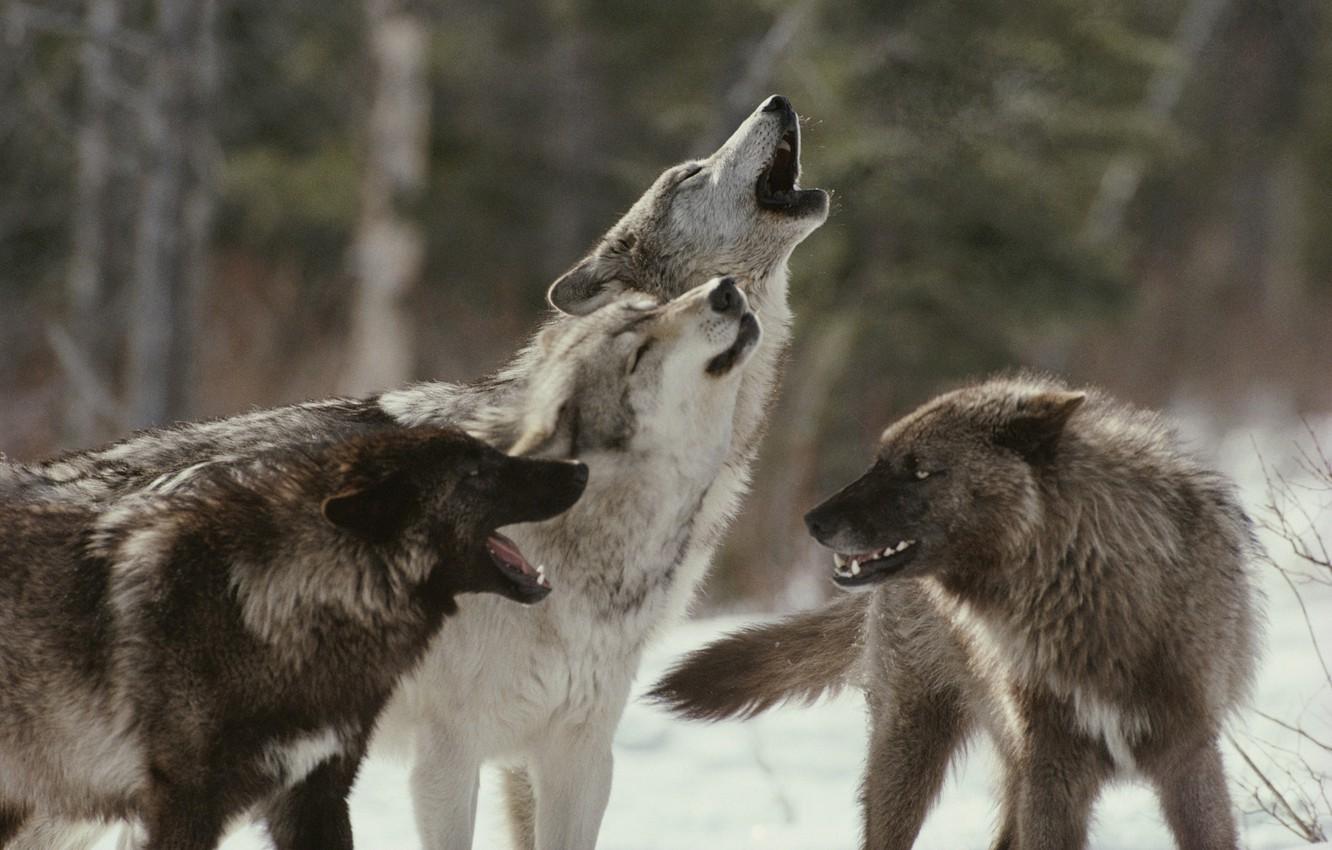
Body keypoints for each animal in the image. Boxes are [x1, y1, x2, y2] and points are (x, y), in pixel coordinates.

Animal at [651, 375, 1262, 850]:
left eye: (921, 470)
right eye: (879, 461)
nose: (813, 521)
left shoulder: (1188, 758)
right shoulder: (1053, 771)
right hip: (911, 751)